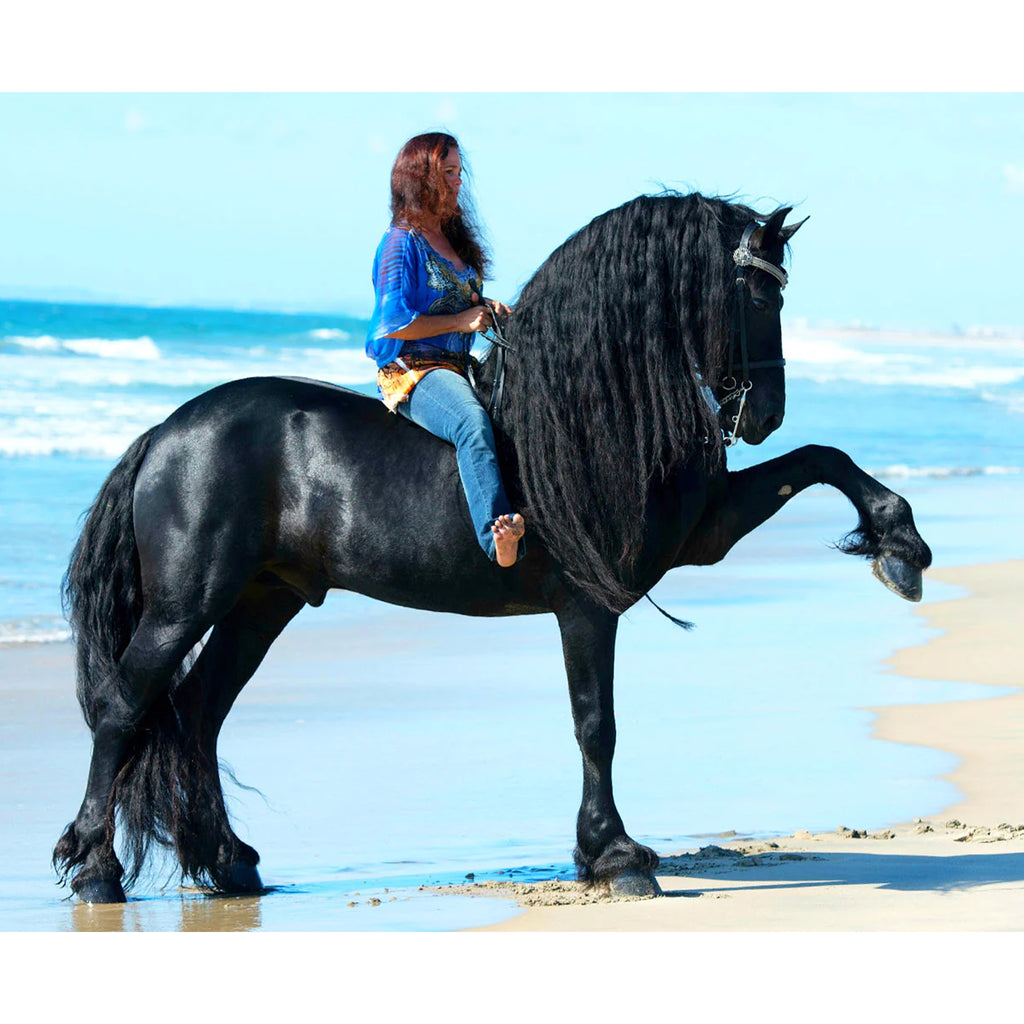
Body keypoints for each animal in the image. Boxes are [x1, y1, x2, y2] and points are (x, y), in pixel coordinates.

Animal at [54, 191, 932, 903]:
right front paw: (615, 855)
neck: (579, 417)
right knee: (126, 706)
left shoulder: (701, 531)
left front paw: (900, 544)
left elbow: (820, 460)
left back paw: (228, 862)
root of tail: (167, 432)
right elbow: (596, 723)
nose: (765, 413)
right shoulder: (587, 603)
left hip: (261, 601)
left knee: (198, 714)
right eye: (756, 290)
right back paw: (98, 869)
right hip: (186, 601)